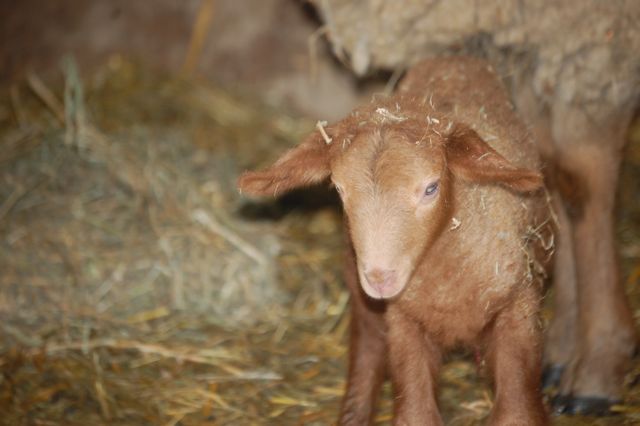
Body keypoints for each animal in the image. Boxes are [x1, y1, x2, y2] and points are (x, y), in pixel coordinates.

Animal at [239, 56, 552, 425]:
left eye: (431, 187)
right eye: (339, 189)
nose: (379, 278)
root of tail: (452, 58)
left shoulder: (518, 313)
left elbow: (516, 411)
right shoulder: (403, 325)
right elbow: (416, 411)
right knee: (366, 345)